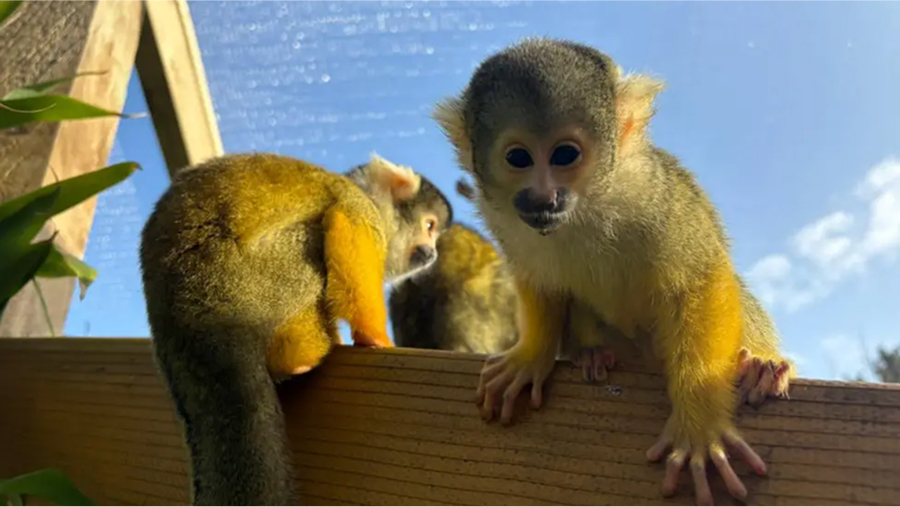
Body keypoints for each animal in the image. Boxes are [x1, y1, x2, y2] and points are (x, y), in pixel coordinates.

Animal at [139, 152, 452, 505]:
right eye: (430, 226)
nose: (432, 252)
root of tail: (184, 311)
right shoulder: (359, 204)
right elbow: (350, 229)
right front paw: (375, 336)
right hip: (246, 281)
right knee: (314, 238)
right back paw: (299, 357)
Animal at [432, 38, 793, 505]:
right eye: (518, 158)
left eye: (565, 155)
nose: (543, 198)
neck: (586, 205)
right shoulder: (504, 217)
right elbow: (540, 281)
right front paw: (531, 357)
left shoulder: (652, 190)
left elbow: (700, 278)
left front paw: (699, 422)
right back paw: (593, 351)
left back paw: (762, 369)